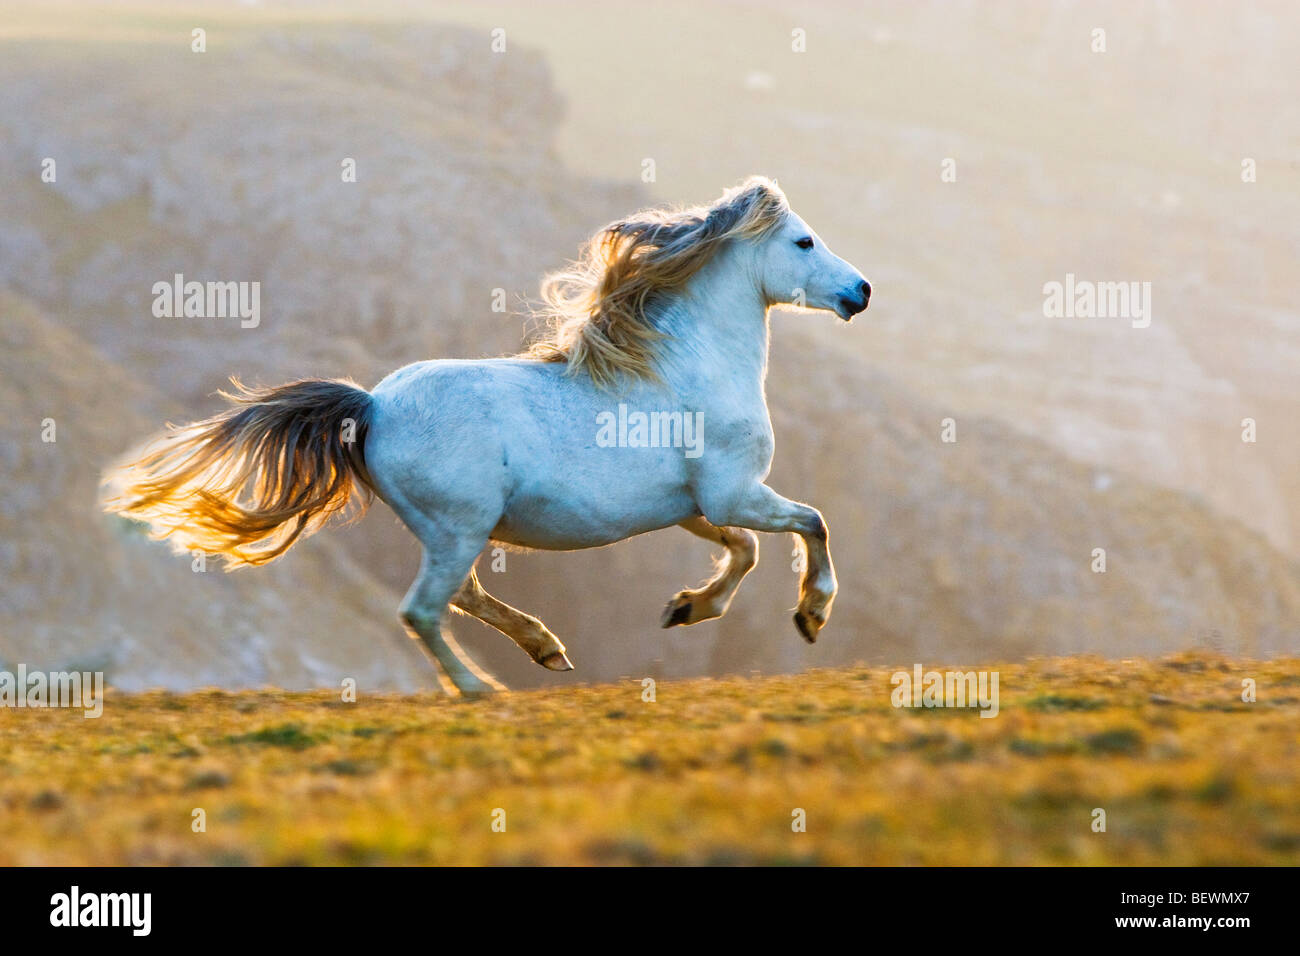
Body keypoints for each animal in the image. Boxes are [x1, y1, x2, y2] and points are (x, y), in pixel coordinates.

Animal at [101, 176, 871, 696]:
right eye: (803, 240)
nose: (860, 292)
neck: (686, 365)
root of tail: (372, 405)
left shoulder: (695, 507)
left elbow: (744, 553)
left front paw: (687, 608)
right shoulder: (736, 492)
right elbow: (814, 522)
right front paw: (813, 614)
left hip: (457, 529)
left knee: (460, 598)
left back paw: (545, 649)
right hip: (459, 525)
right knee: (424, 609)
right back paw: (480, 688)